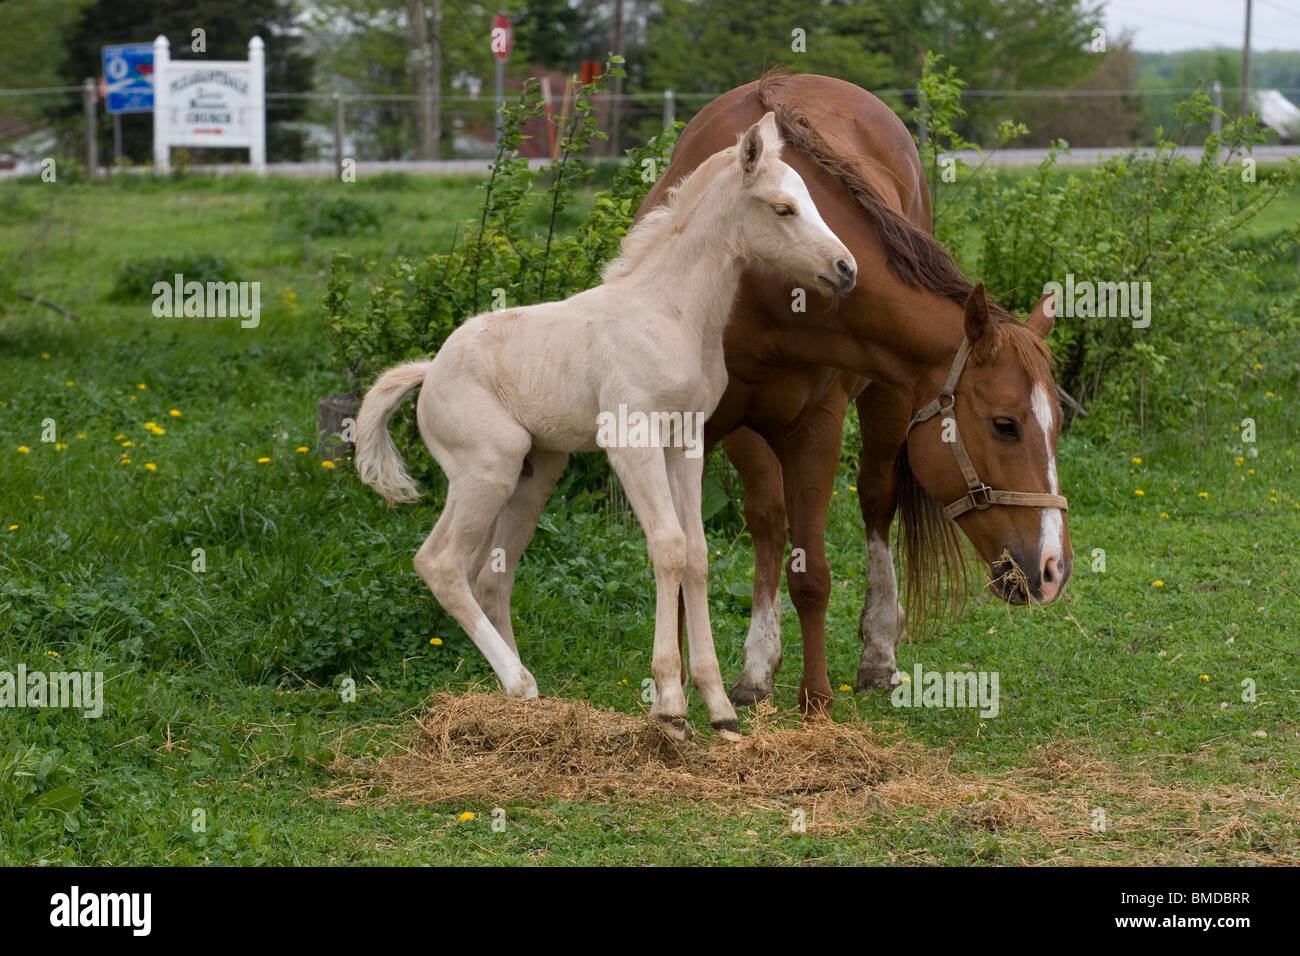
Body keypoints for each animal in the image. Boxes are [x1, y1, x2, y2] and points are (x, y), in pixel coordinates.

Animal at [353, 113, 856, 740]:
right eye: (784, 208)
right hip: (486, 468)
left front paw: (719, 708)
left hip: (534, 474)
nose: (846, 269)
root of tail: (429, 370)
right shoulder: (631, 438)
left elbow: (697, 553)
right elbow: (667, 547)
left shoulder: (686, 441)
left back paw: (527, 699)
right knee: (440, 564)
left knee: (490, 576)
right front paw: (670, 706)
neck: (672, 313)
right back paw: (521, 683)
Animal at [637, 72, 1072, 716]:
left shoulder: (818, 423)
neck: (760, 281)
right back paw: (758, 665)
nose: (1051, 569)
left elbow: (813, 575)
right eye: (1004, 424)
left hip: (885, 399)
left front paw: (816, 698)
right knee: (768, 521)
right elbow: (698, 556)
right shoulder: (704, 425)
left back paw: (877, 652)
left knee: (874, 500)